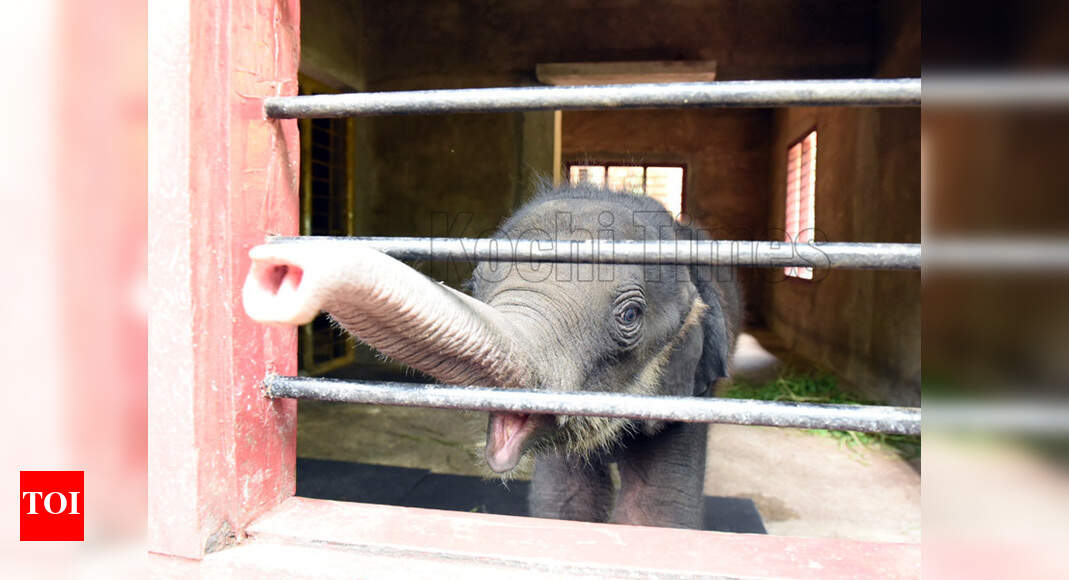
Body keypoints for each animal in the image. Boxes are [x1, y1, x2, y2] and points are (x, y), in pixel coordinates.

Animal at [243, 183, 742, 529]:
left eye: (631, 314)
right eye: (478, 279)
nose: (283, 266)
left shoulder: (693, 391)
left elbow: (658, 512)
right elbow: (563, 503)